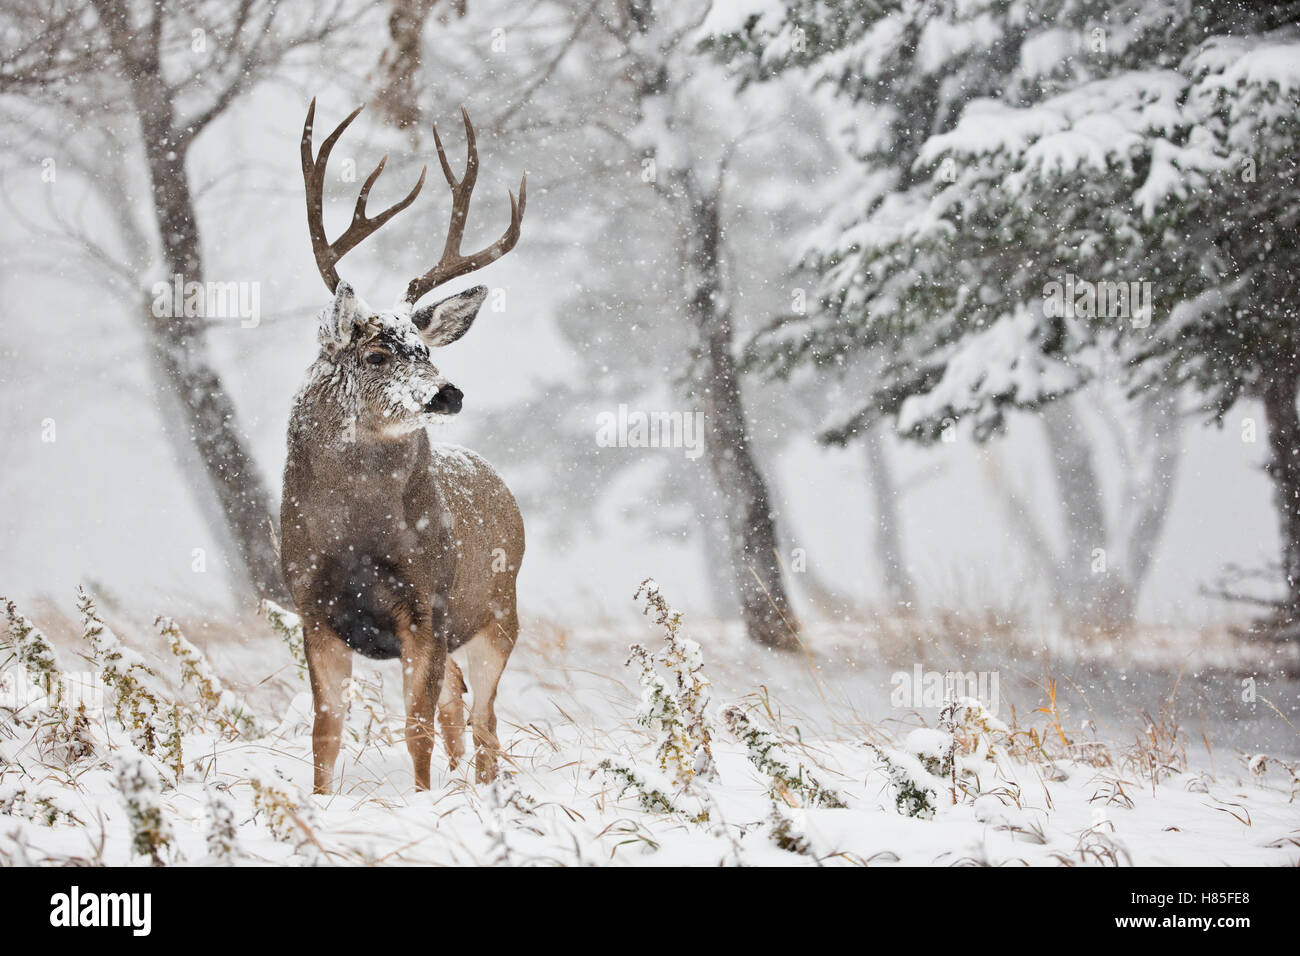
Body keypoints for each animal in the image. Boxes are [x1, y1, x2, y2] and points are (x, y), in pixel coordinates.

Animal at [281, 99, 526, 793]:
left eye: (425, 348)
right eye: (377, 353)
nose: (447, 393)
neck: (357, 538)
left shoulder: (428, 609)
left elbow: (414, 729)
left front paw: (422, 802)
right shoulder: (312, 609)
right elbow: (325, 732)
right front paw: (321, 803)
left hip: (498, 614)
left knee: (484, 720)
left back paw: (485, 791)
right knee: (458, 710)